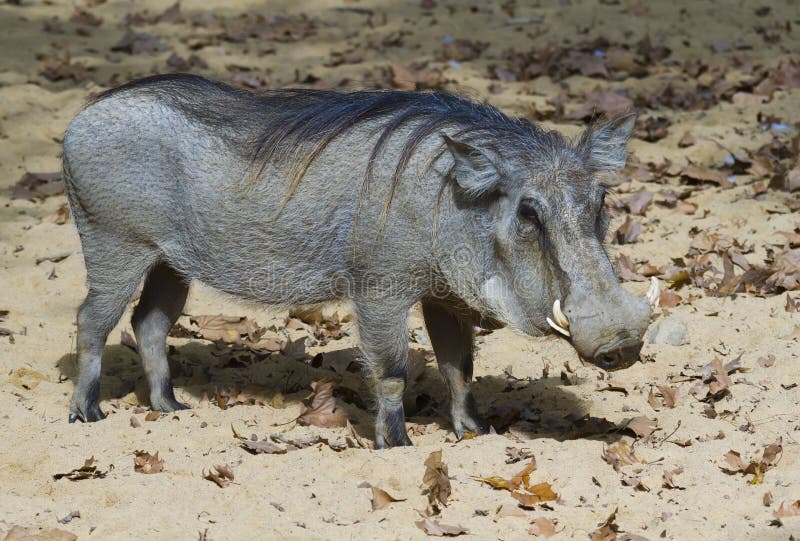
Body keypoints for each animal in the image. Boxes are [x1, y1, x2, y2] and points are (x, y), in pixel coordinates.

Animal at [62, 73, 656, 448]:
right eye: (529, 212)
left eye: (600, 201)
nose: (623, 346)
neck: (449, 201)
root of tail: (81, 116)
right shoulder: (379, 290)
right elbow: (391, 370)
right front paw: (396, 444)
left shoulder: (443, 295)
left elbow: (459, 366)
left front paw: (475, 432)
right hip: (115, 245)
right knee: (92, 321)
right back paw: (87, 413)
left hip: (170, 263)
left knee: (150, 323)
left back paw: (170, 407)